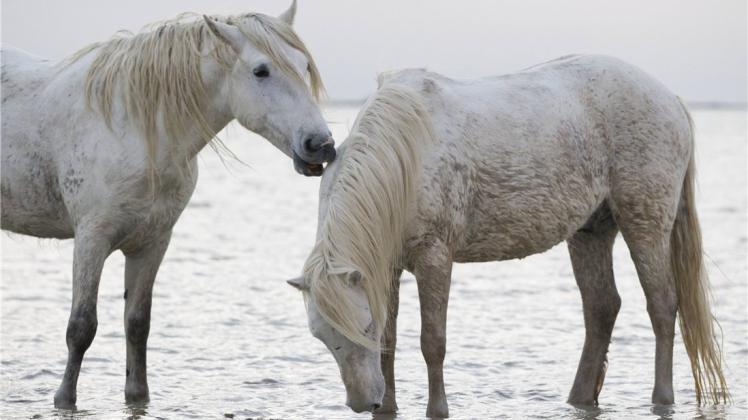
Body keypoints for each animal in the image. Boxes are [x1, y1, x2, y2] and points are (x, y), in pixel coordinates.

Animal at [1, 1, 335, 409]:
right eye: (261, 70)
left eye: (304, 67)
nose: (320, 145)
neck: (137, 130)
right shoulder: (91, 238)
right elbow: (81, 326)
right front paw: (64, 399)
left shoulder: (153, 242)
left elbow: (137, 324)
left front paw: (137, 396)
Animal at [287, 55, 729, 416]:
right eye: (323, 337)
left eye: (363, 328)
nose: (363, 403)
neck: (404, 158)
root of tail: (669, 98)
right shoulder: (387, 266)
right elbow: (393, 339)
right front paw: (391, 407)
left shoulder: (435, 258)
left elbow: (432, 341)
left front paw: (438, 410)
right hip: (590, 231)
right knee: (602, 308)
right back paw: (579, 399)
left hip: (646, 223)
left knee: (662, 306)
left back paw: (662, 398)